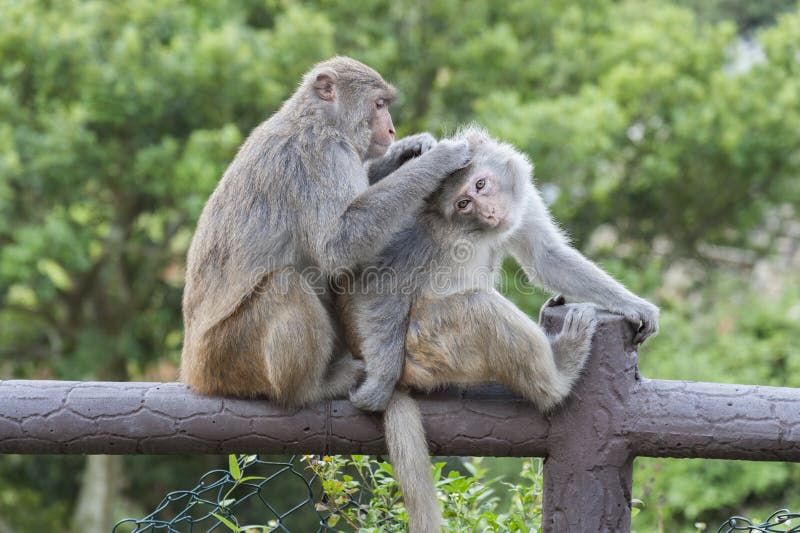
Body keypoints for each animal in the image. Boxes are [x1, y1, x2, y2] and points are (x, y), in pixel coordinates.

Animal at [179, 56, 470, 407]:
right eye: (379, 104)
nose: (391, 130)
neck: (317, 118)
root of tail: (195, 373)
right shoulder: (322, 153)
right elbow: (337, 244)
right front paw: (441, 157)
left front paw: (410, 148)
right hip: (229, 356)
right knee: (286, 283)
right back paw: (311, 388)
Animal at [340, 126, 659, 532]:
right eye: (463, 203)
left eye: (481, 184)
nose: (491, 212)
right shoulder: (409, 219)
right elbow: (377, 278)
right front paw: (377, 386)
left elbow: (547, 257)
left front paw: (635, 305)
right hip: (426, 346)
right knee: (480, 309)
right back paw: (559, 374)